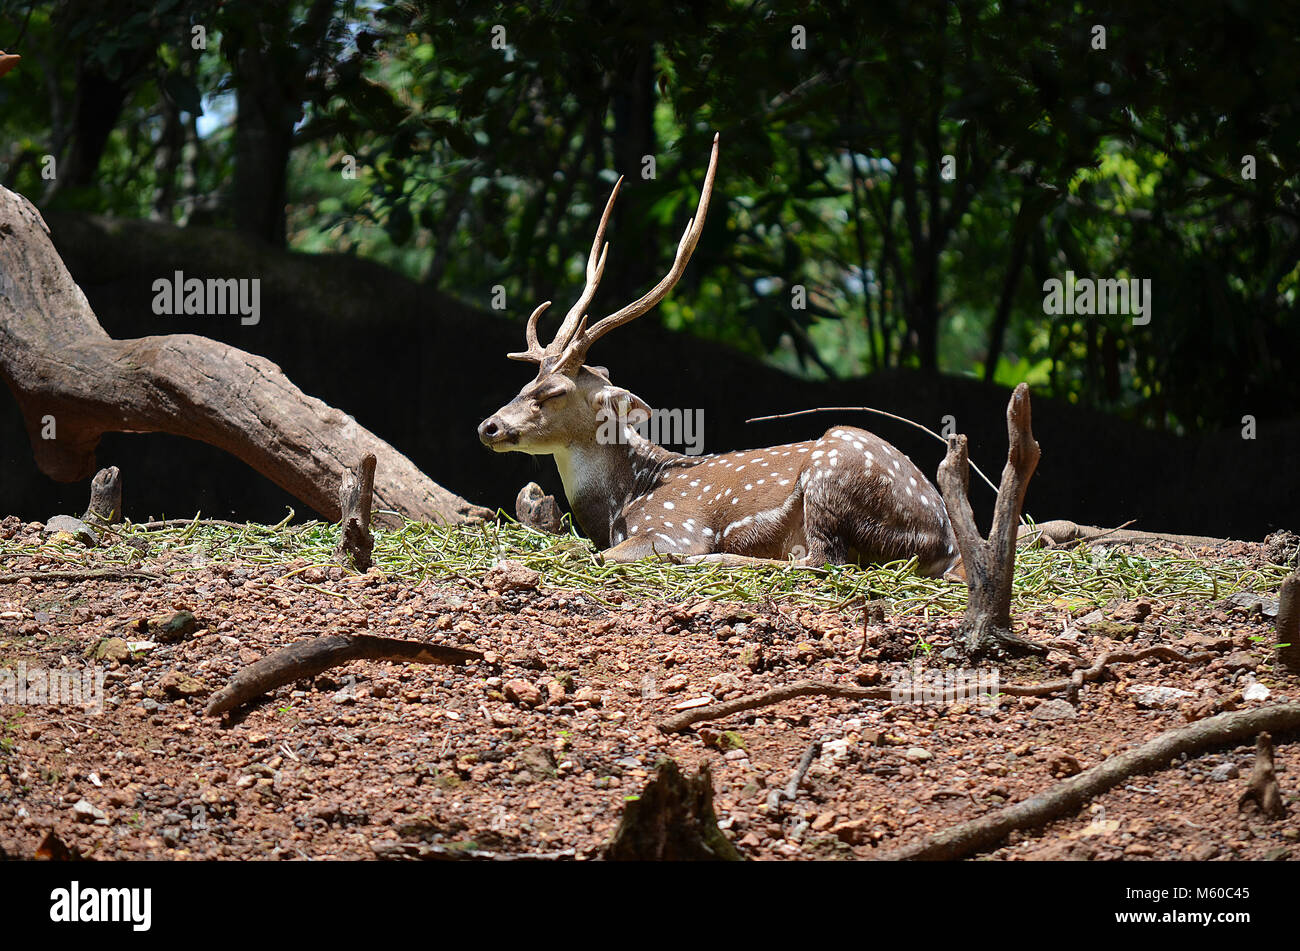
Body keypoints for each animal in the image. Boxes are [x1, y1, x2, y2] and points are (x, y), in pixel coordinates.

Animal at [477, 134, 960, 577]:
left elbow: (596, 555)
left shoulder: (674, 527)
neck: (620, 505)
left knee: (821, 562)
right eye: (526, 383)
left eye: (555, 391)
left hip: (833, 470)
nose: (488, 426)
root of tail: (948, 544)